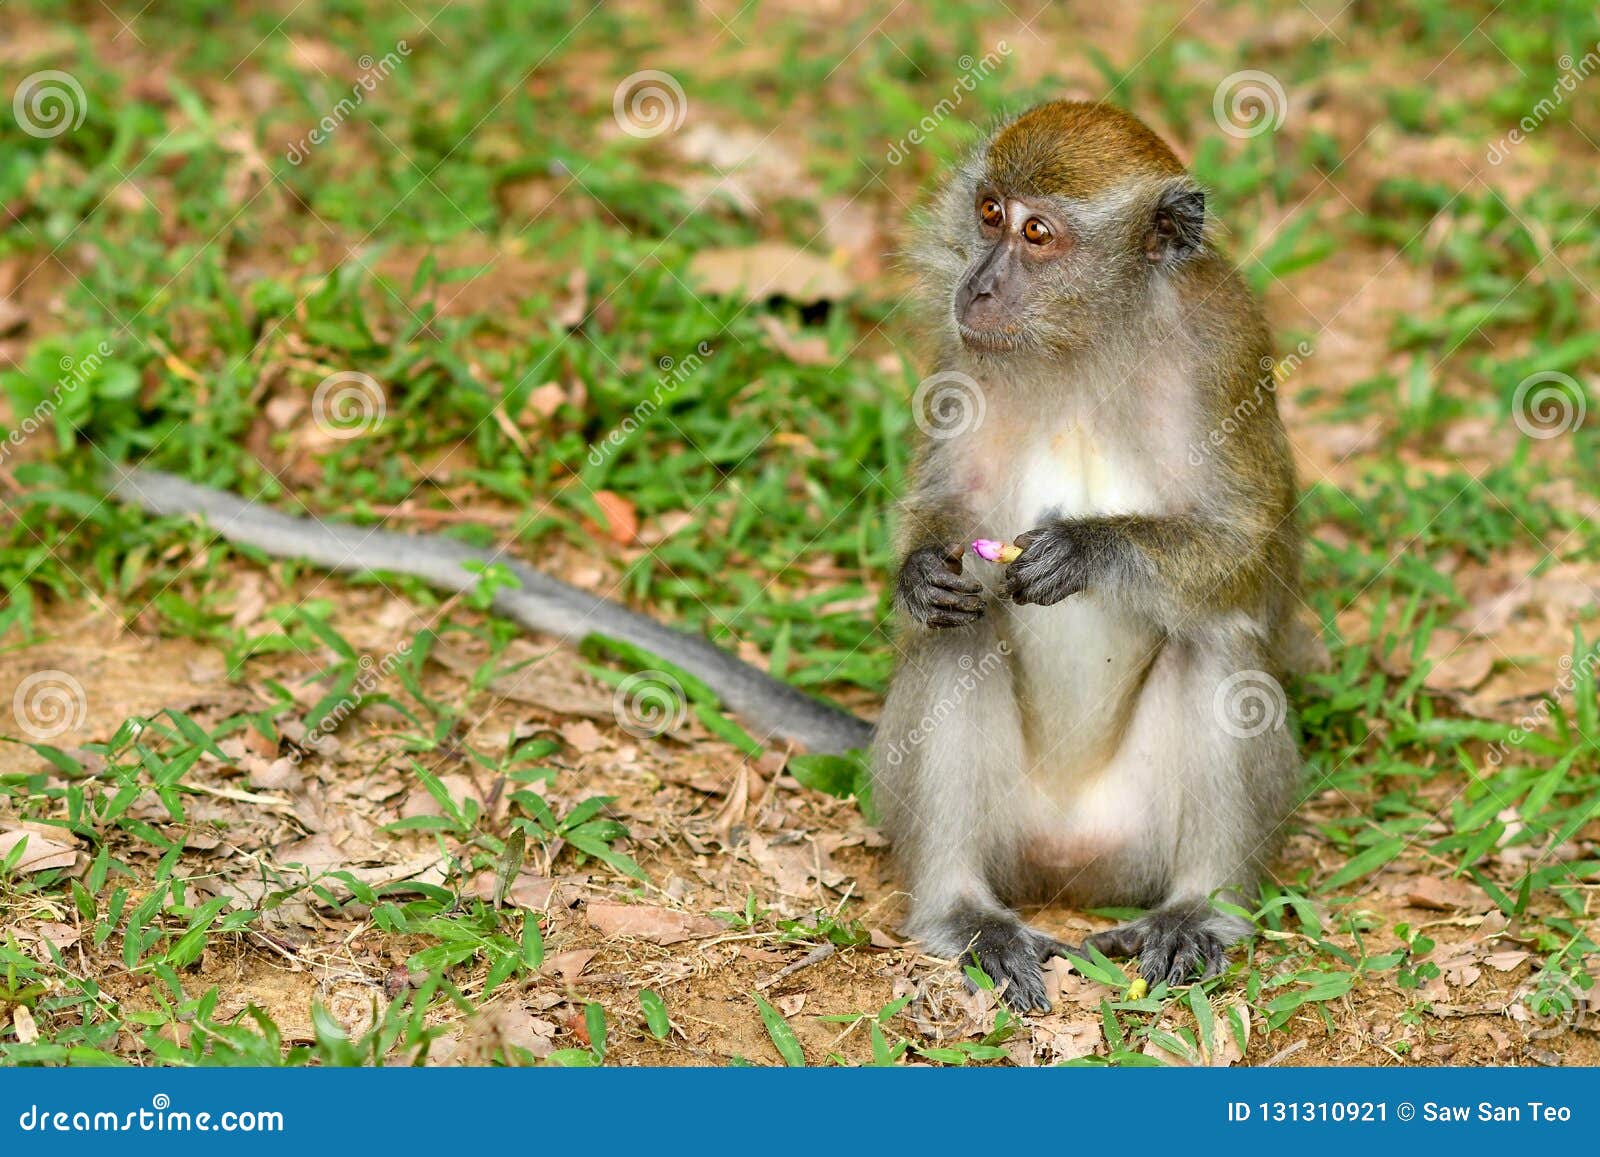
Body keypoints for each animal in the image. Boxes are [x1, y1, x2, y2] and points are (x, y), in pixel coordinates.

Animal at [100, 98, 1301, 1014]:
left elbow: (1252, 556)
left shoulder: (1225, 351)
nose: (980, 285)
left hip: (1134, 839)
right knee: (959, 642)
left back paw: (1197, 908)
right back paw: (964, 911)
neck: (1084, 345)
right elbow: (943, 536)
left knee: (1221, 651)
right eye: (990, 213)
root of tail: (1068, 865)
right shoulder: (964, 360)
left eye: (1041, 236)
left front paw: (1088, 549)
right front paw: (922, 572)